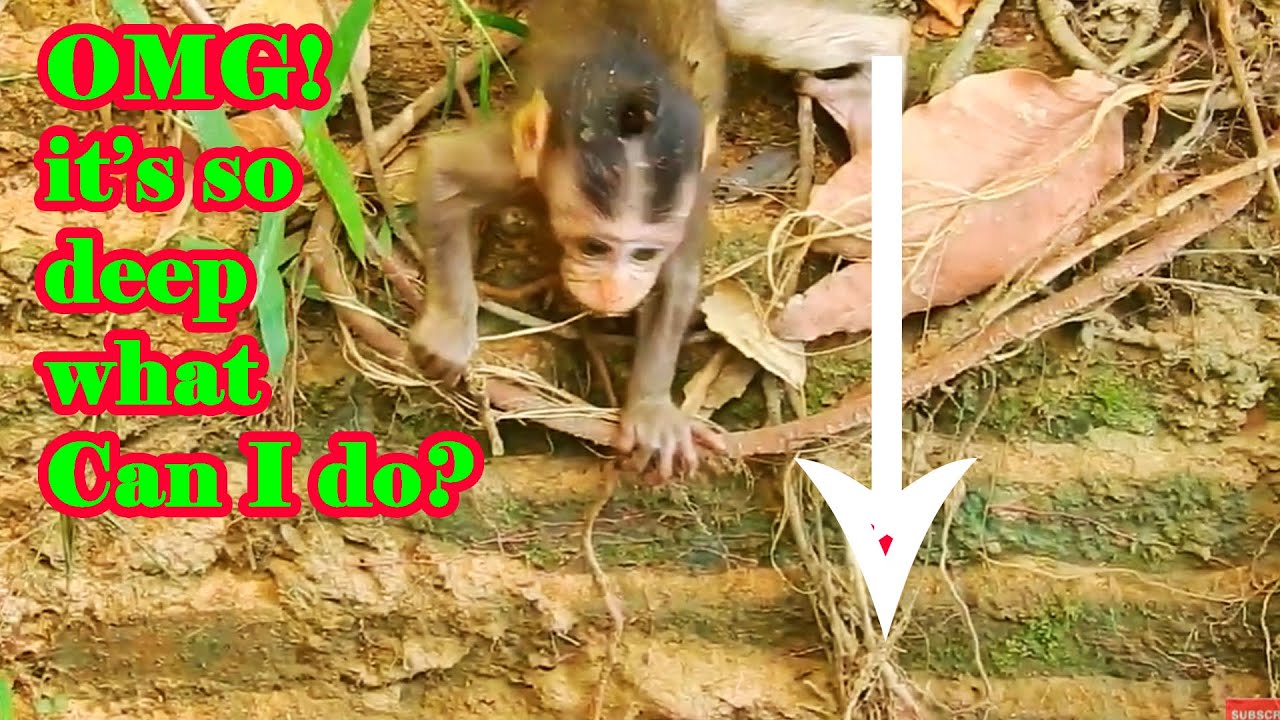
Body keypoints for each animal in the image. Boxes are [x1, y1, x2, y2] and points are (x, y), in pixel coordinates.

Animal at [406, 0, 729, 481]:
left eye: (644, 253)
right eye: (594, 247)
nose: (613, 291)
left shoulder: (691, 201)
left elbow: (678, 274)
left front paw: (651, 408)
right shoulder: (519, 165)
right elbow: (442, 167)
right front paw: (448, 328)